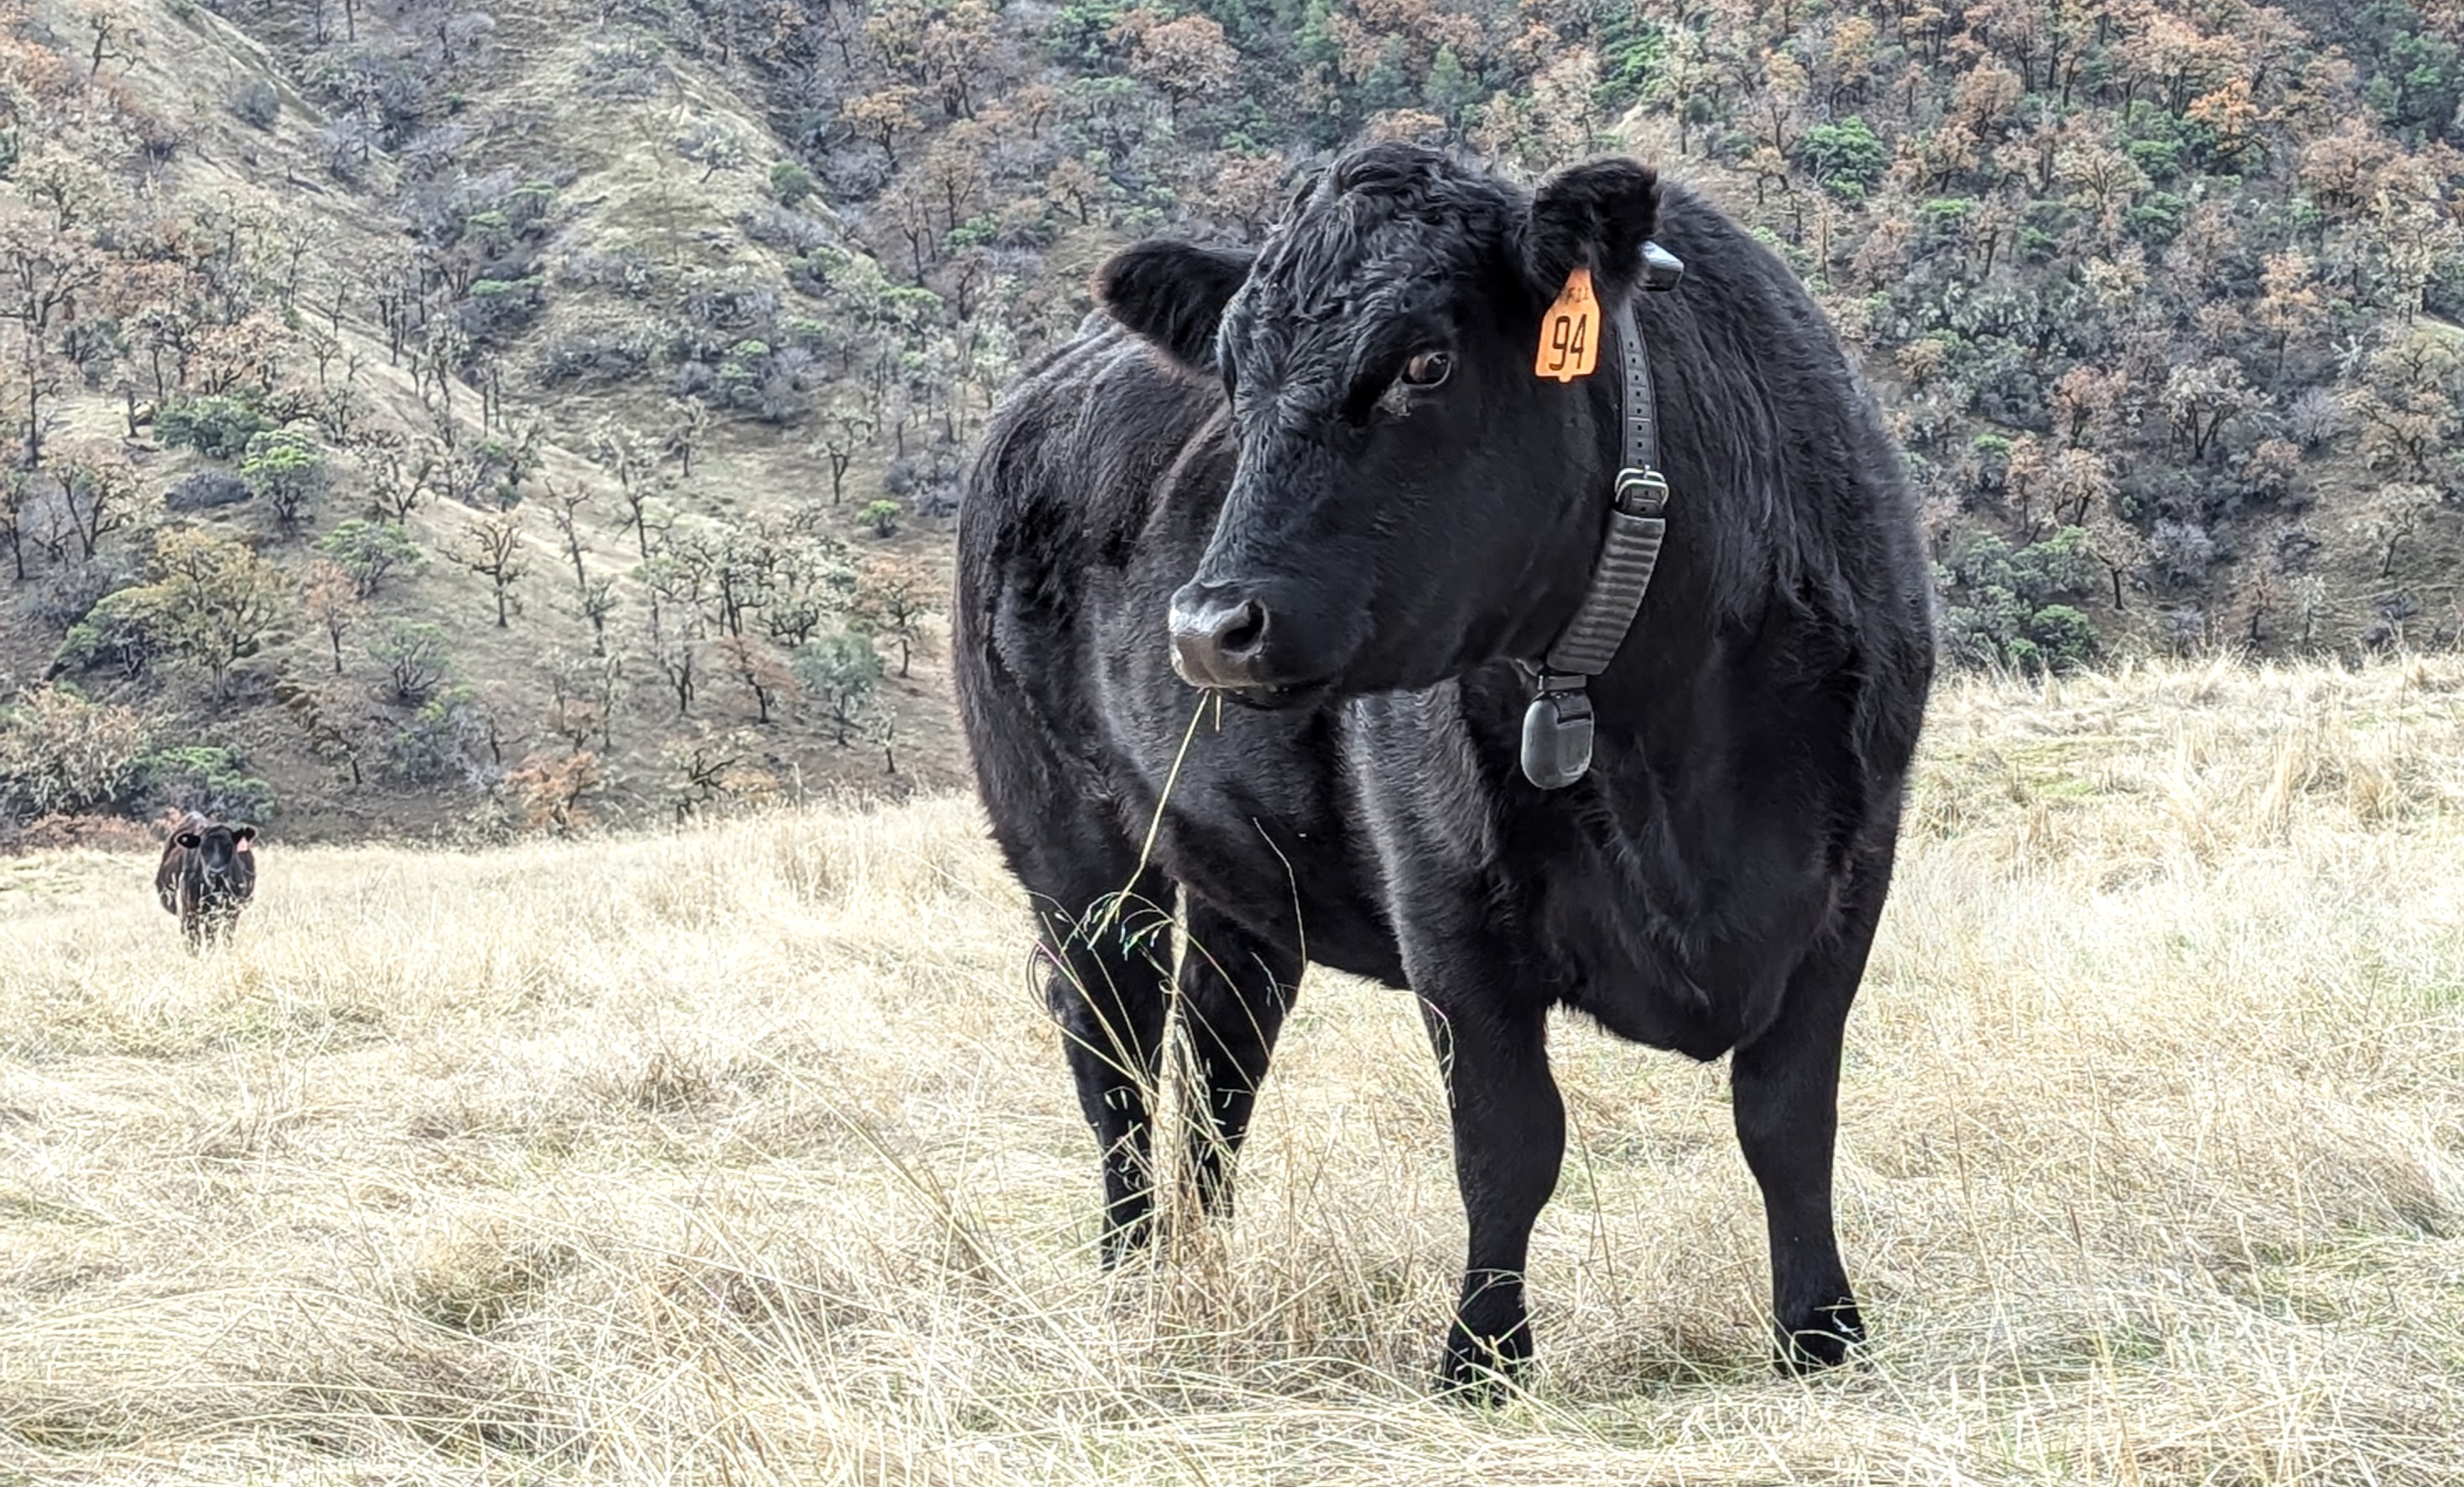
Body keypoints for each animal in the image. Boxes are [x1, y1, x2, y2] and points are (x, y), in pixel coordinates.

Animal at [156, 811, 257, 950]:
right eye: (203, 847)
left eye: (229, 846)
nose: (216, 872)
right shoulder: (190, 912)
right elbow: (196, 943)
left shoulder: (232, 911)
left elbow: (224, 939)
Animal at [952, 142, 1936, 1396]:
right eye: (1232, 375)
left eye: (1425, 361)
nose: (1210, 627)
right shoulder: (1444, 902)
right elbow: (1509, 1141)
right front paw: (1482, 1359)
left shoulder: (1852, 870)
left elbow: (1788, 1119)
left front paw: (1819, 1335)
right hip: (1070, 853)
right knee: (1114, 1064)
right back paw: (1132, 1283)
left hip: (1243, 882)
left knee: (1218, 1070)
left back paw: (1201, 1272)